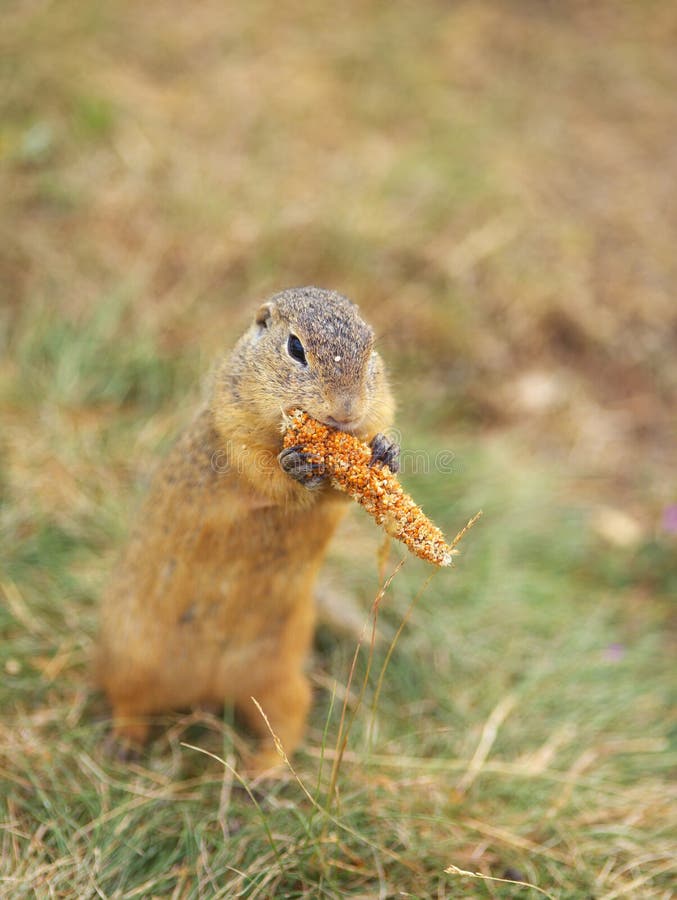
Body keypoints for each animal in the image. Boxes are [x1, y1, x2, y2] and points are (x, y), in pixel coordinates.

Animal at [97, 286, 399, 772]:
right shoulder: (235, 433)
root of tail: (206, 689)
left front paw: (386, 449)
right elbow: (261, 473)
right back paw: (123, 743)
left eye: (371, 348)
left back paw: (264, 773)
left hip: (278, 680)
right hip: (128, 660)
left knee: (288, 722)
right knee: (129, 705)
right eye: (295, 348)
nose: (347, 409)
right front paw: (294, 465)